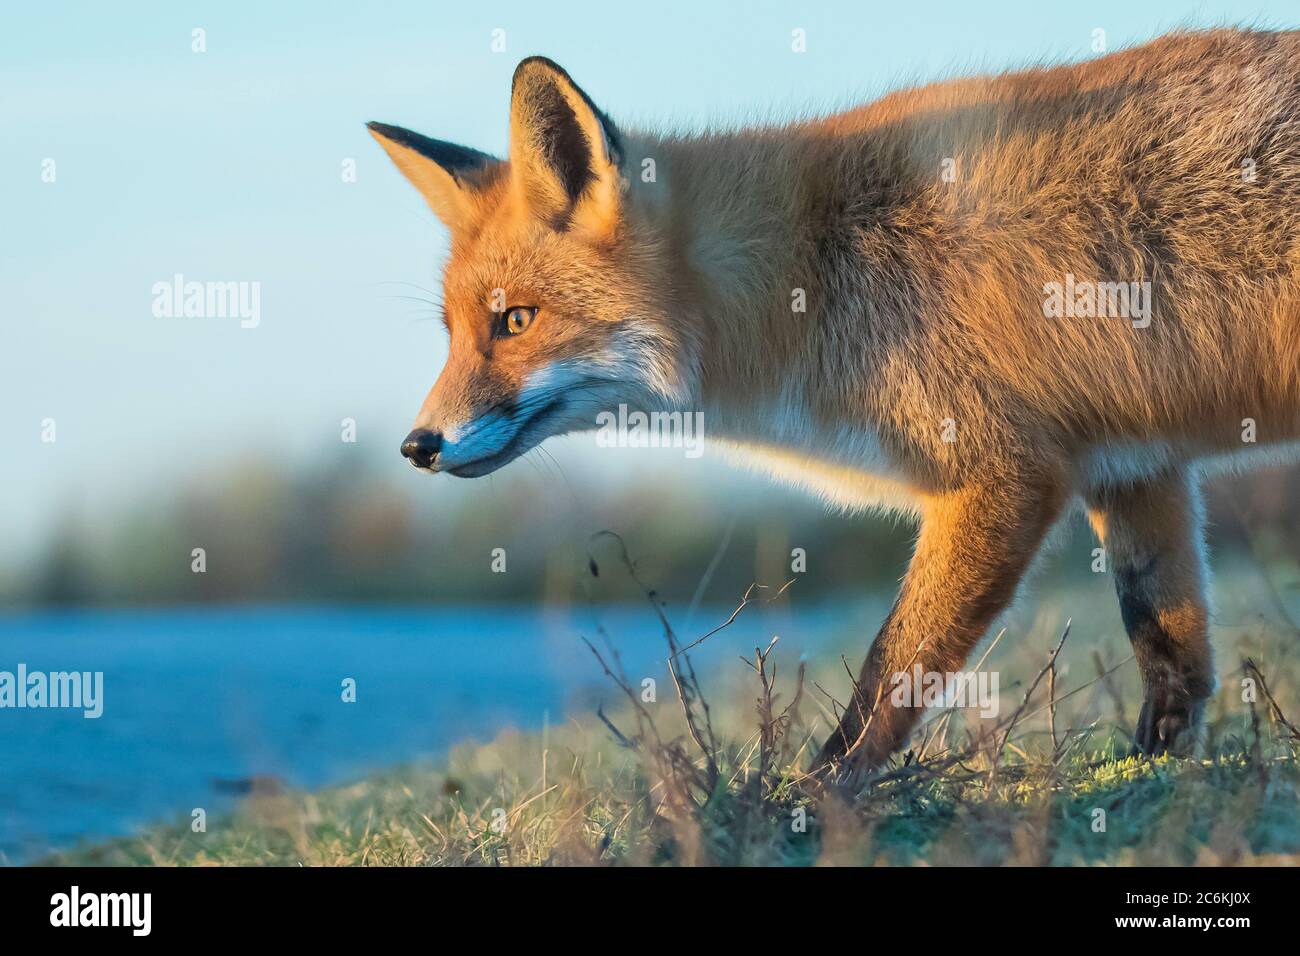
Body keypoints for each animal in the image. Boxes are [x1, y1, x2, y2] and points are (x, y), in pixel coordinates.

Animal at [369, 28, 1300, 774]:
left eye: (516, 322)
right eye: (454, 332)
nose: (417, 446)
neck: (809, 273)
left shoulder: (1003, 476)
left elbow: (891, 671)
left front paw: (816, 797)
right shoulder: (1131, 461)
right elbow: (1166, 640)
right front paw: (1161, 775)